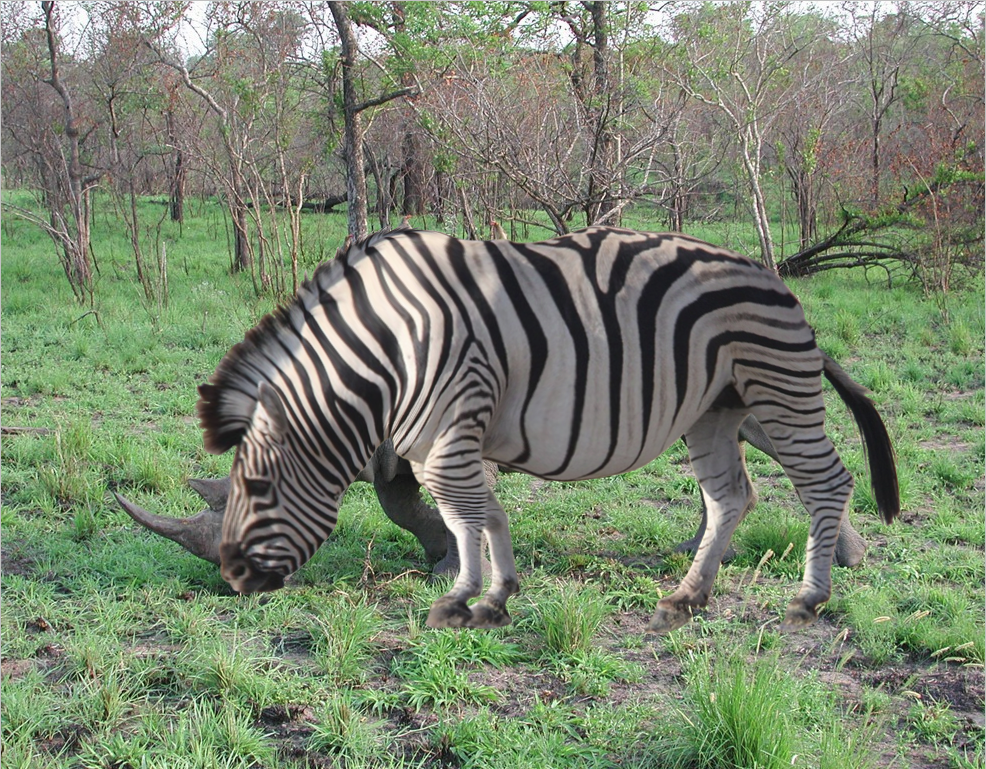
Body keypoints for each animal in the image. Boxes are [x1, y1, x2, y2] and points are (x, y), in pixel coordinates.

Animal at [198, 225, 899, 633]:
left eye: (256, 493)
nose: (231, 581)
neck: (387, 355)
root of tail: (774, 279)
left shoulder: (456, 422)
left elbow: (465, 513)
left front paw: (466, 593)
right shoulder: (431, 442)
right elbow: (466, 513)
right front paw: (480, 593)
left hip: (773, 388)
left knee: (823, 479)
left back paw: (813, 593)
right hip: (712, 410)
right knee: (733, 494)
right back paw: (688, 592)